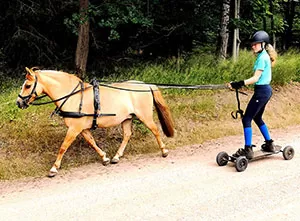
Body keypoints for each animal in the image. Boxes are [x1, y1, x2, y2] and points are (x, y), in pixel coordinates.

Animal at [16, 66, 175, 177]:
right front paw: (104, 158)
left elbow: (63, 147)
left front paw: (54, 169)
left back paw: (164, 151)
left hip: (145, 116)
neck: (73, 97)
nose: (19, 102)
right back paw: (116, 157)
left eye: (28, 86)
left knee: (155, 131)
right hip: (127, 118)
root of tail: (146, 85)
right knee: (127, 135)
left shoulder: (74, 129)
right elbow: (92, 142)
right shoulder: (83, 129)